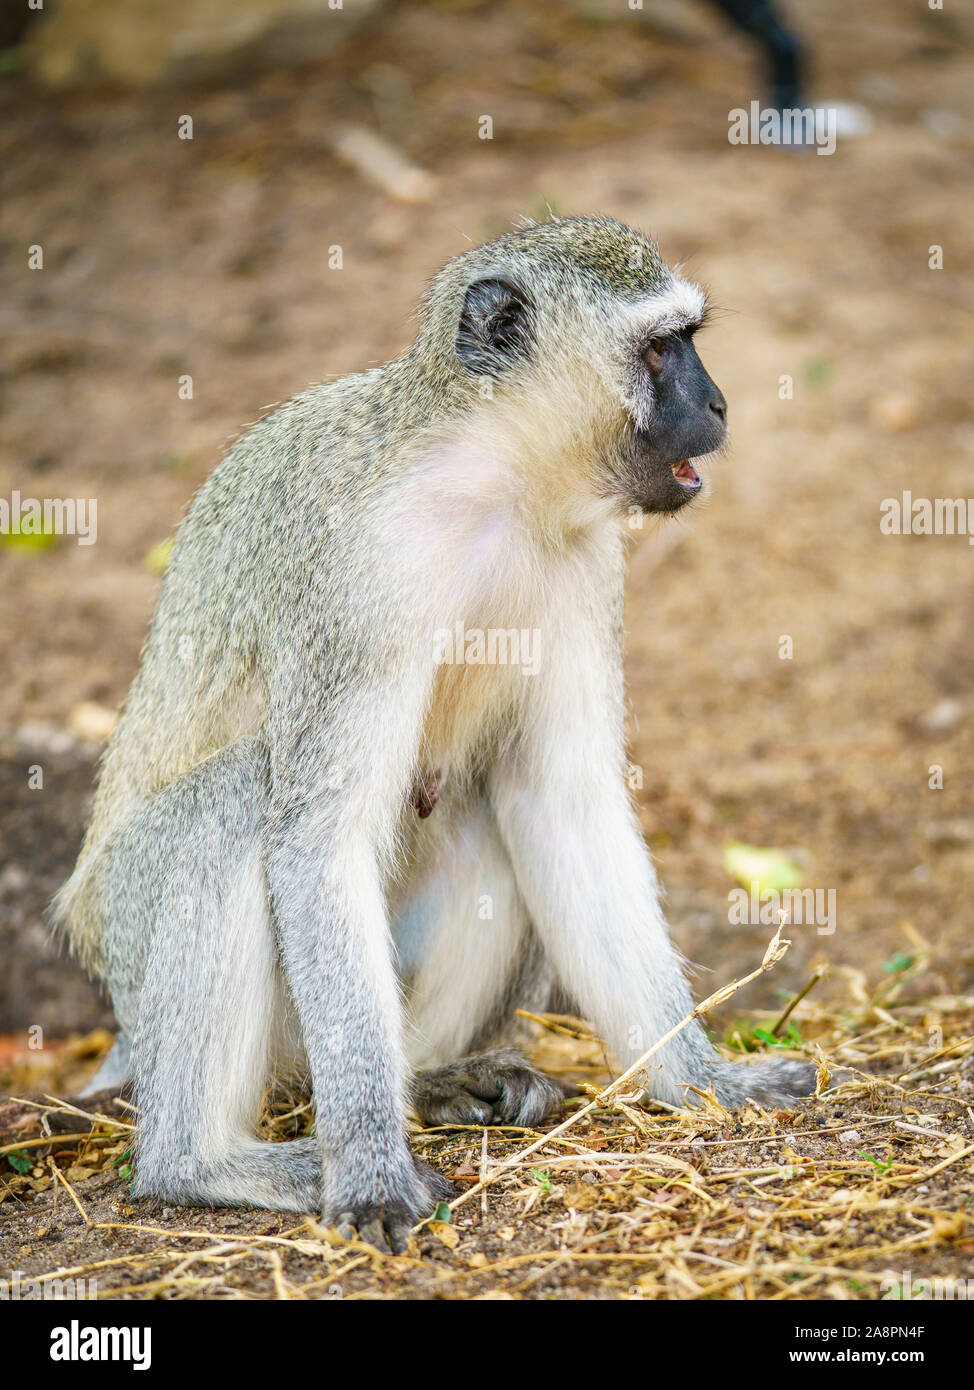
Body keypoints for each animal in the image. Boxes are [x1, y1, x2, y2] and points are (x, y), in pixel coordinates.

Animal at [53, 215, 816, 1253]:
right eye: (663, 350)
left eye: (689, 341)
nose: (721, 403)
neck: (487, 483)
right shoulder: (355, 575)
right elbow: (320, 837)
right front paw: (373, 1171)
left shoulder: (588, 562)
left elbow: (560, 804)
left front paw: (702, 1079)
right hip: (149, 949)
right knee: (238, 803)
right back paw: (205, 1162)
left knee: (492, 812)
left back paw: (433, 1080)